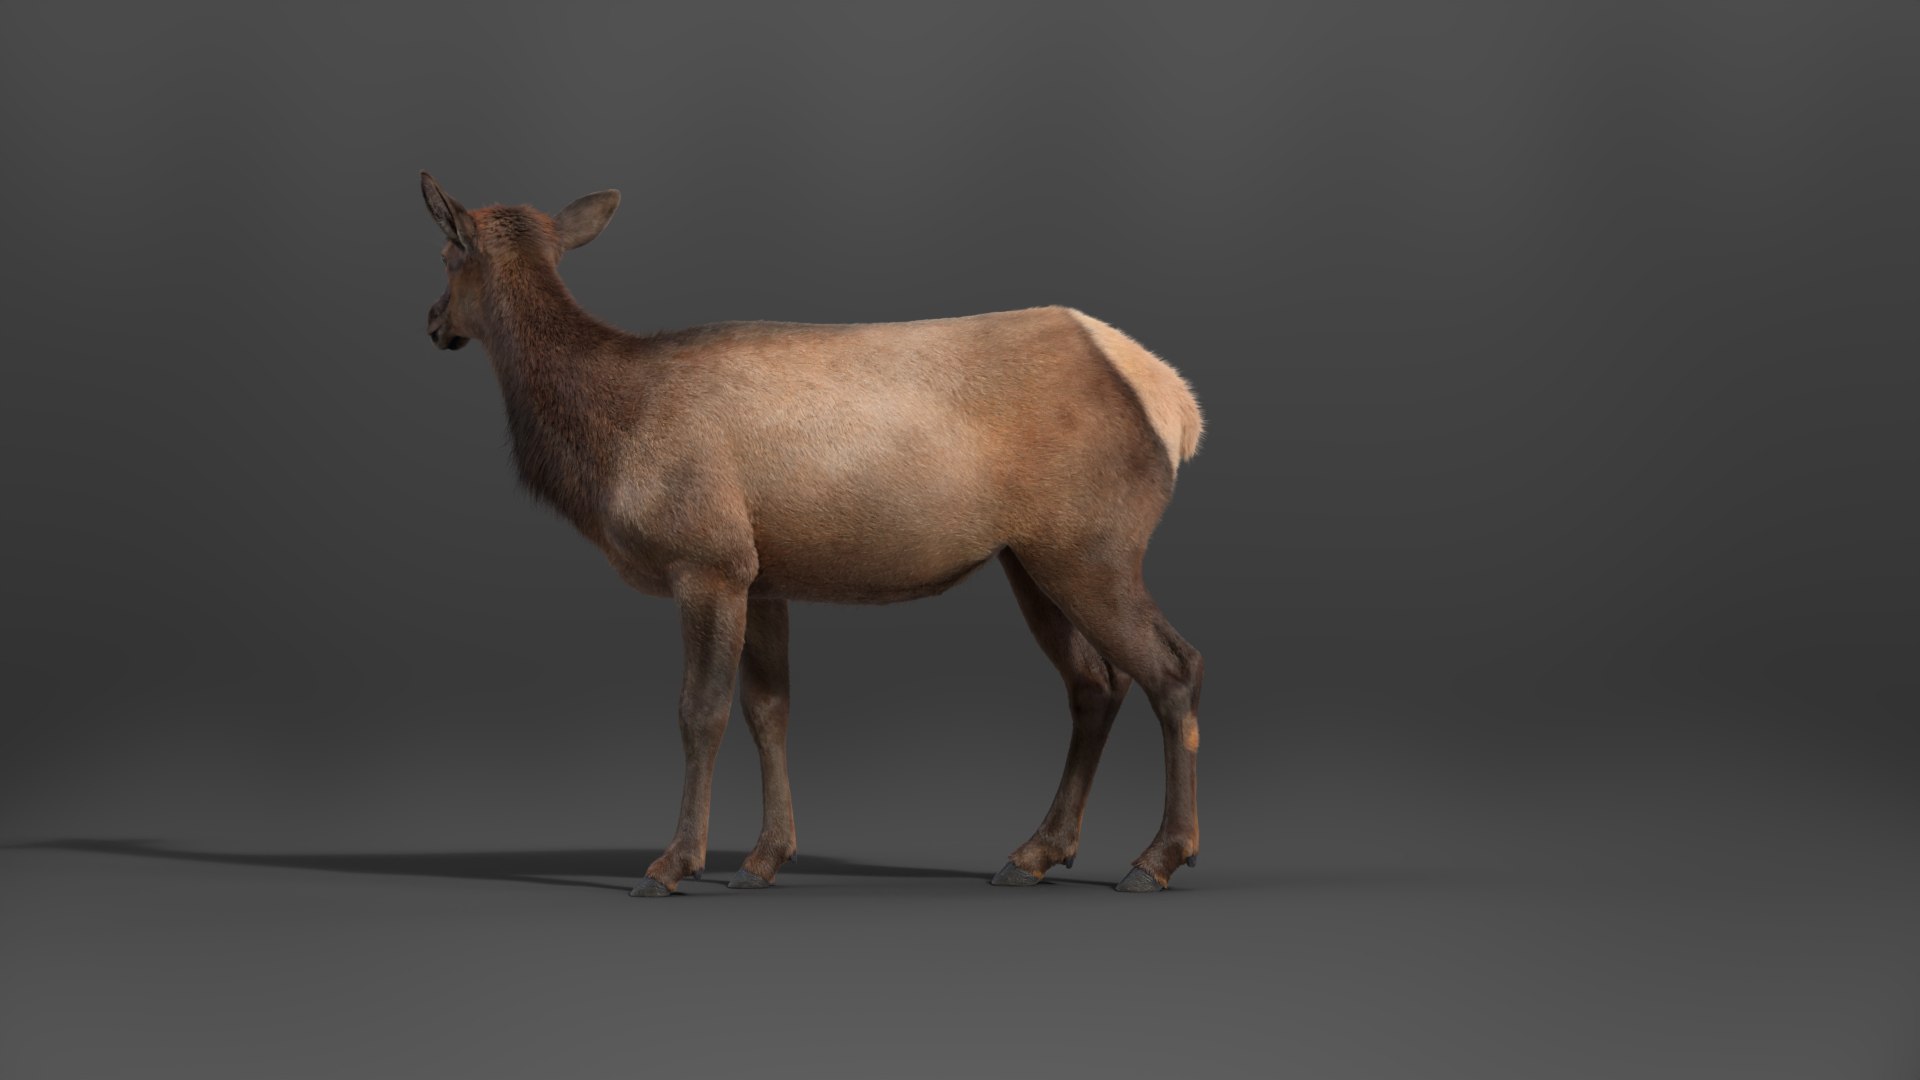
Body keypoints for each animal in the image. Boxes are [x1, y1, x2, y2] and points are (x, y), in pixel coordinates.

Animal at [418, 172, 1206, 895]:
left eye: (448, 255)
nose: (430, 321)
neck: (611, 434)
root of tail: (1177, 406)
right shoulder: (763, 575)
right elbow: (770, 709)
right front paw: (763, 858)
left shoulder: (707, 558)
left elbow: (700, 712)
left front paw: (674, 863)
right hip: (1033, 558)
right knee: (1095, 683)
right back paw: (1035, 853)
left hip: (1094, 547)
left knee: (1174, 666)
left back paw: (1157, 858)